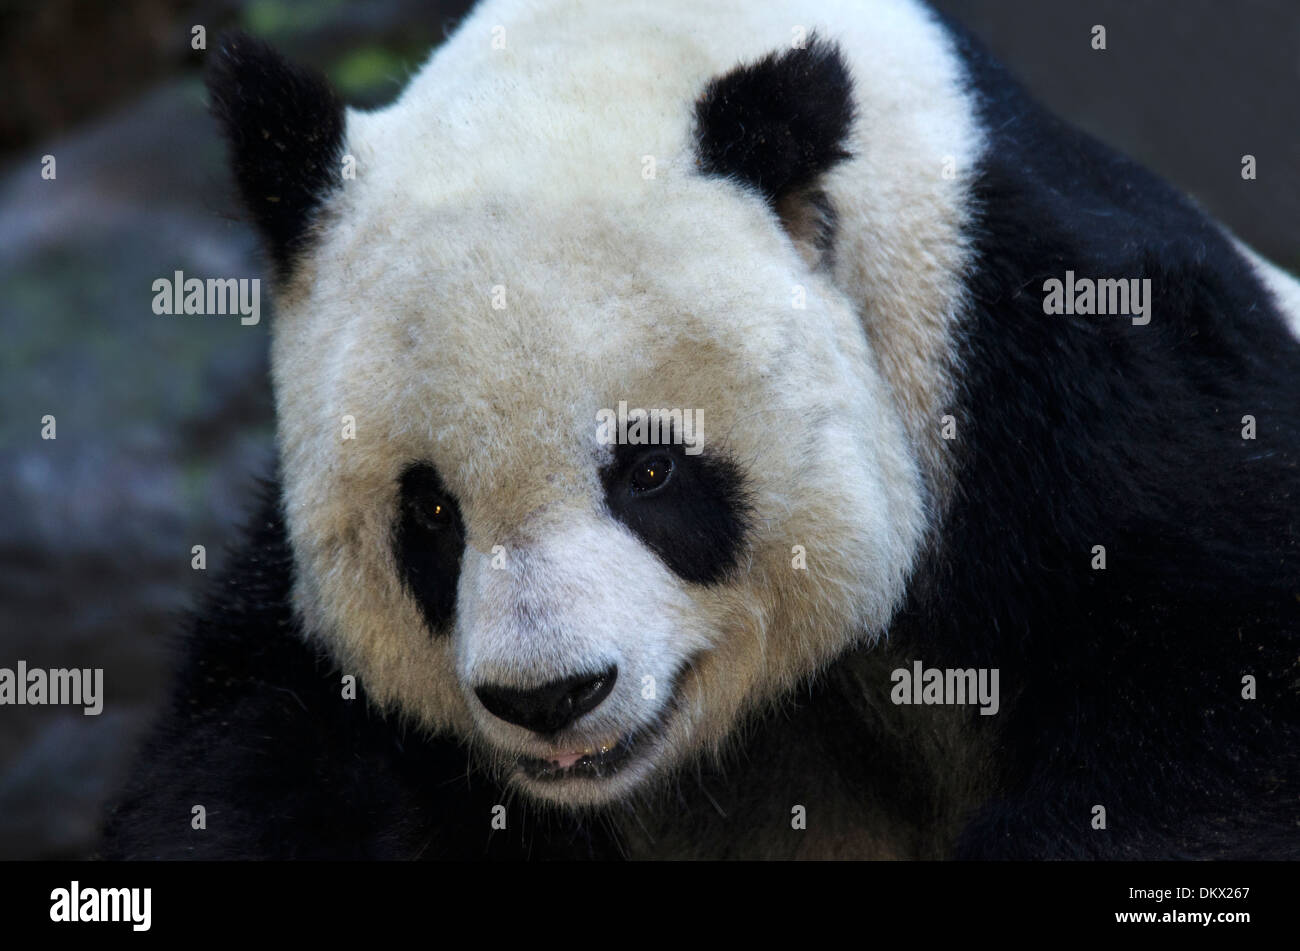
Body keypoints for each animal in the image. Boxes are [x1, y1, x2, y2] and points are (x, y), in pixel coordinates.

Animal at [103, 0, 1300, 860]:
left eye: (648, 470)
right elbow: (261, 758)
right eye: (431, 509)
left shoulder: (1049, 351)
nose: (550, 697)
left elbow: (1212, 694)